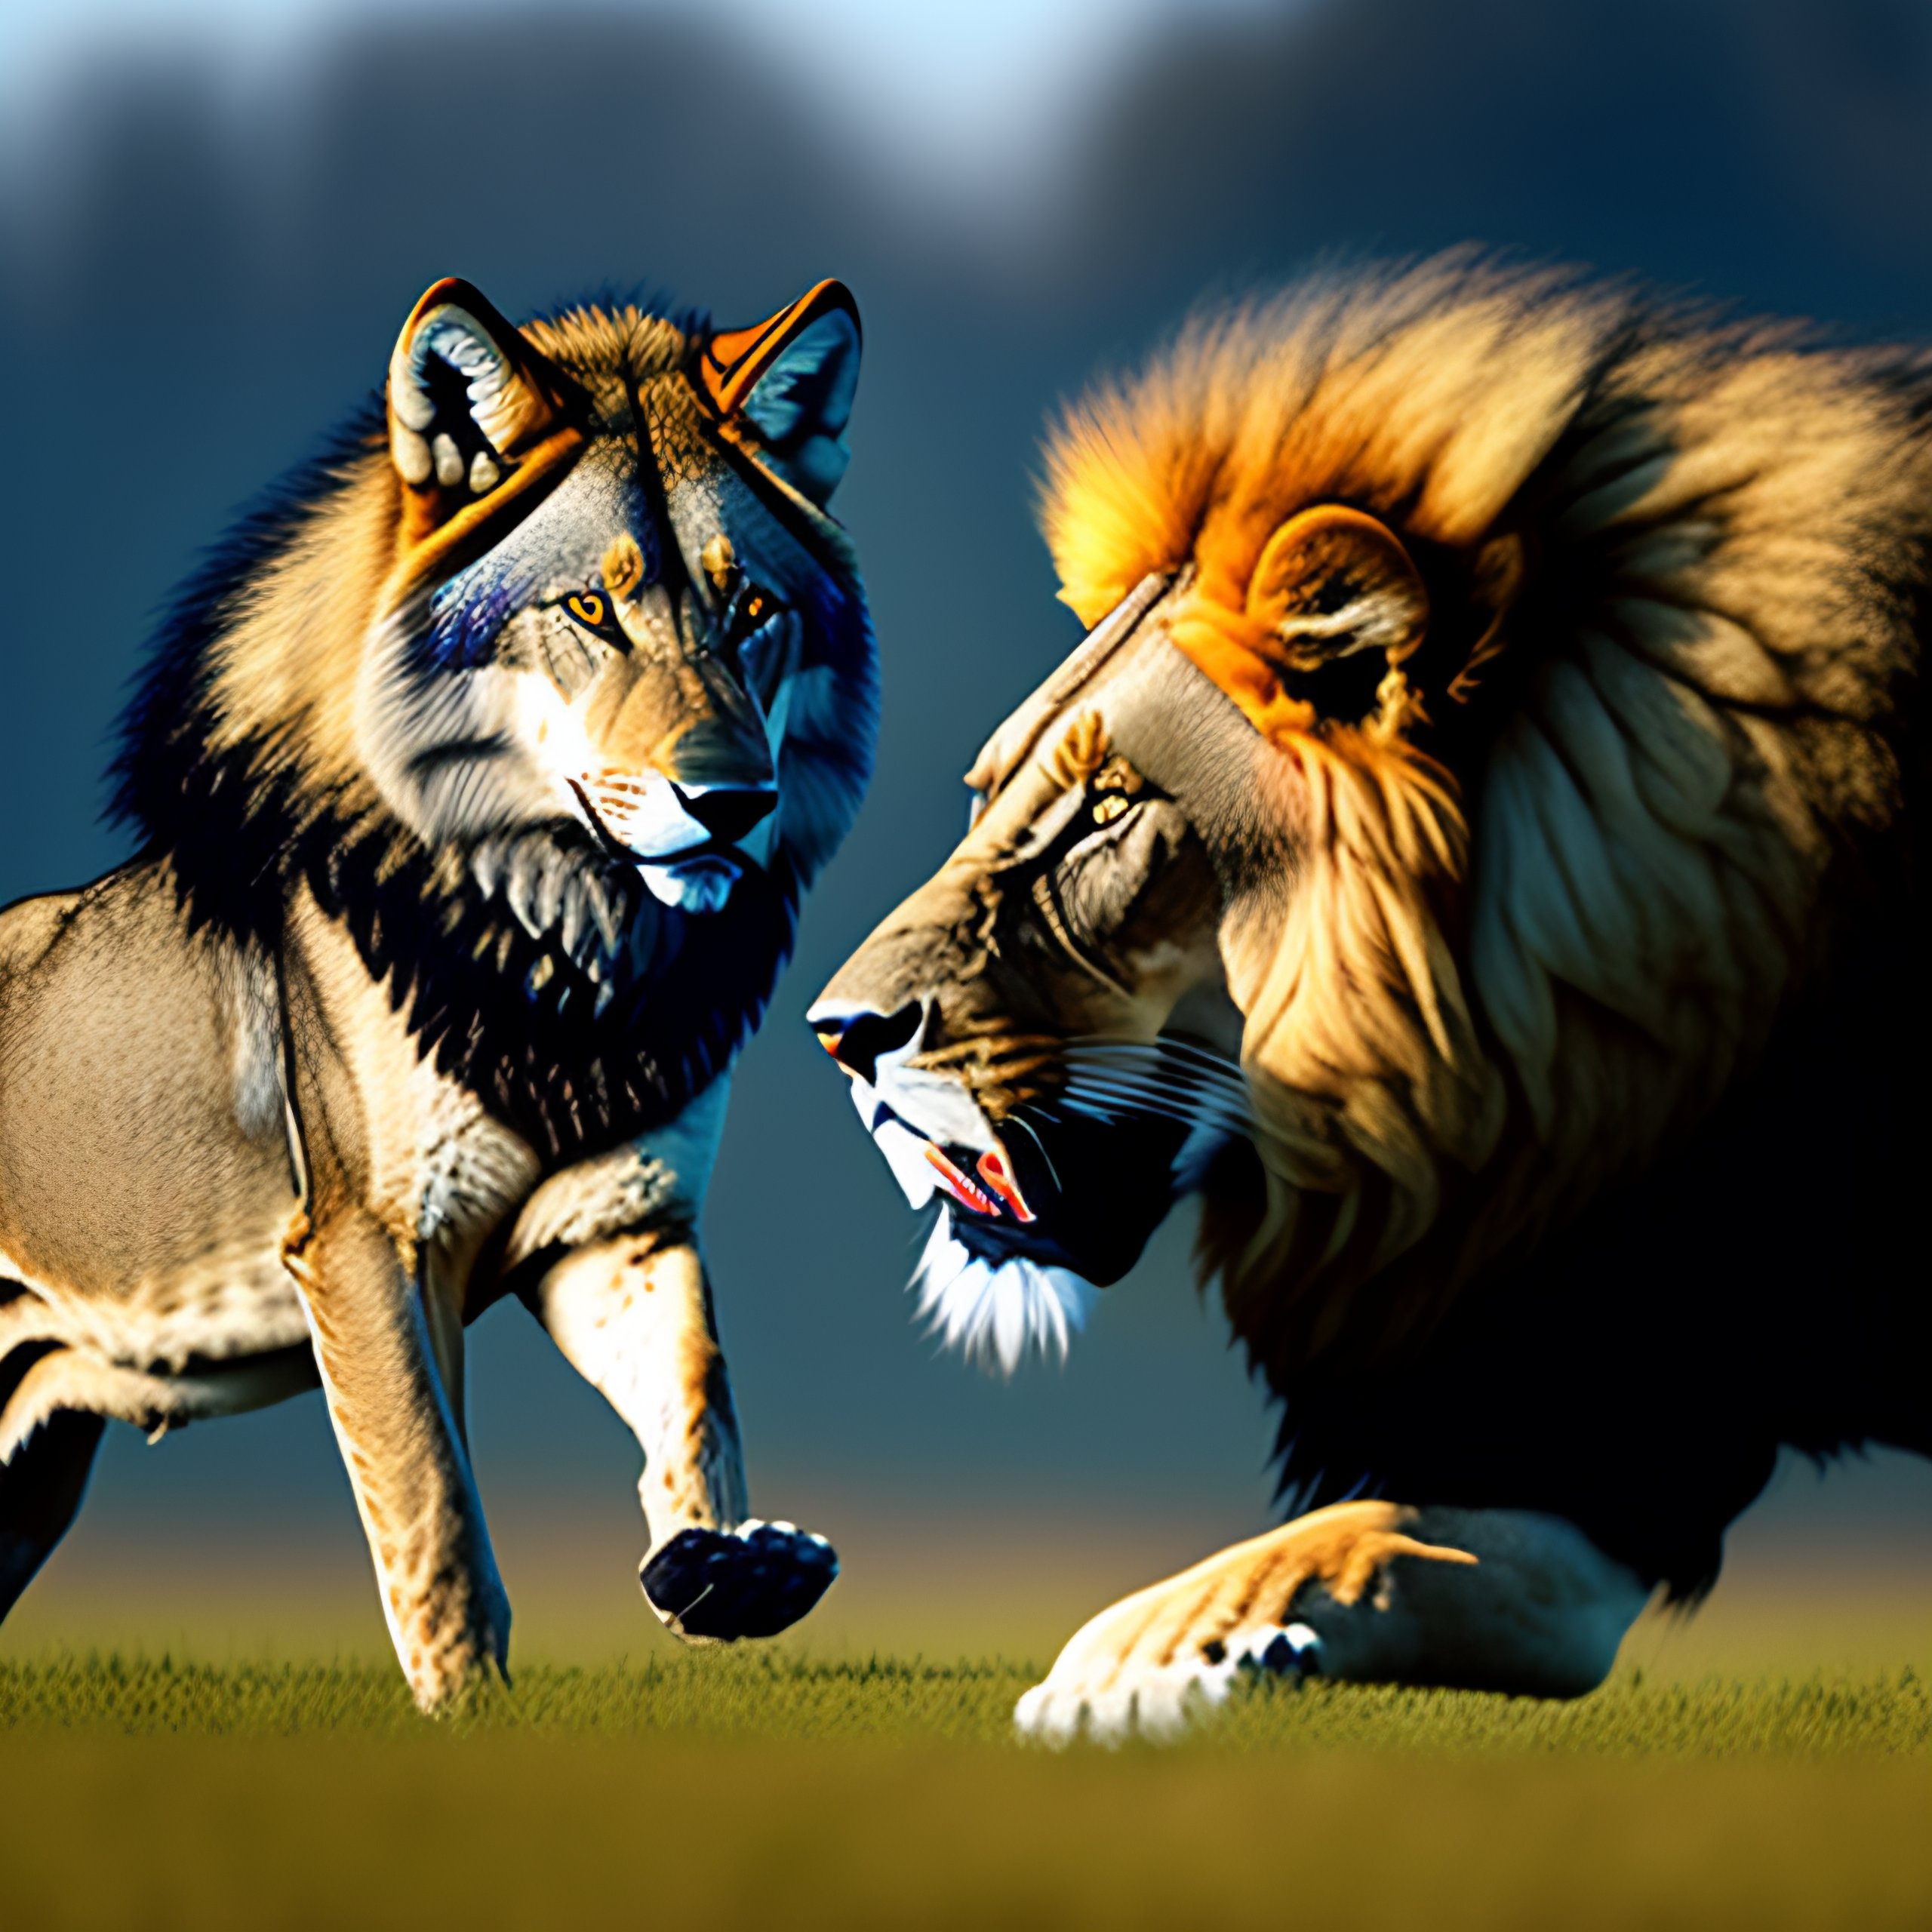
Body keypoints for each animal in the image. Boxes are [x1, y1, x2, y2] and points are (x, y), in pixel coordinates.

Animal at [0, 273, 873, 1709]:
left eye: (752, 610)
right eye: (590, 612)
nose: (734, 802)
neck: (581, 945)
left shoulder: (613, 1225)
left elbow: (697, 1395)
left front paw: (730, 1568)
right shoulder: (366, 1241)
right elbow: (434, 1505)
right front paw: (469, 1713)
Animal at [810, 255, 1929, 1740]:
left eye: (1108, 811)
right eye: (992, 799)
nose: (839, 1037)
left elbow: (1333, 1545)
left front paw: (1133, 1670)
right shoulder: (1579, 1412)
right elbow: (1376, 1539)